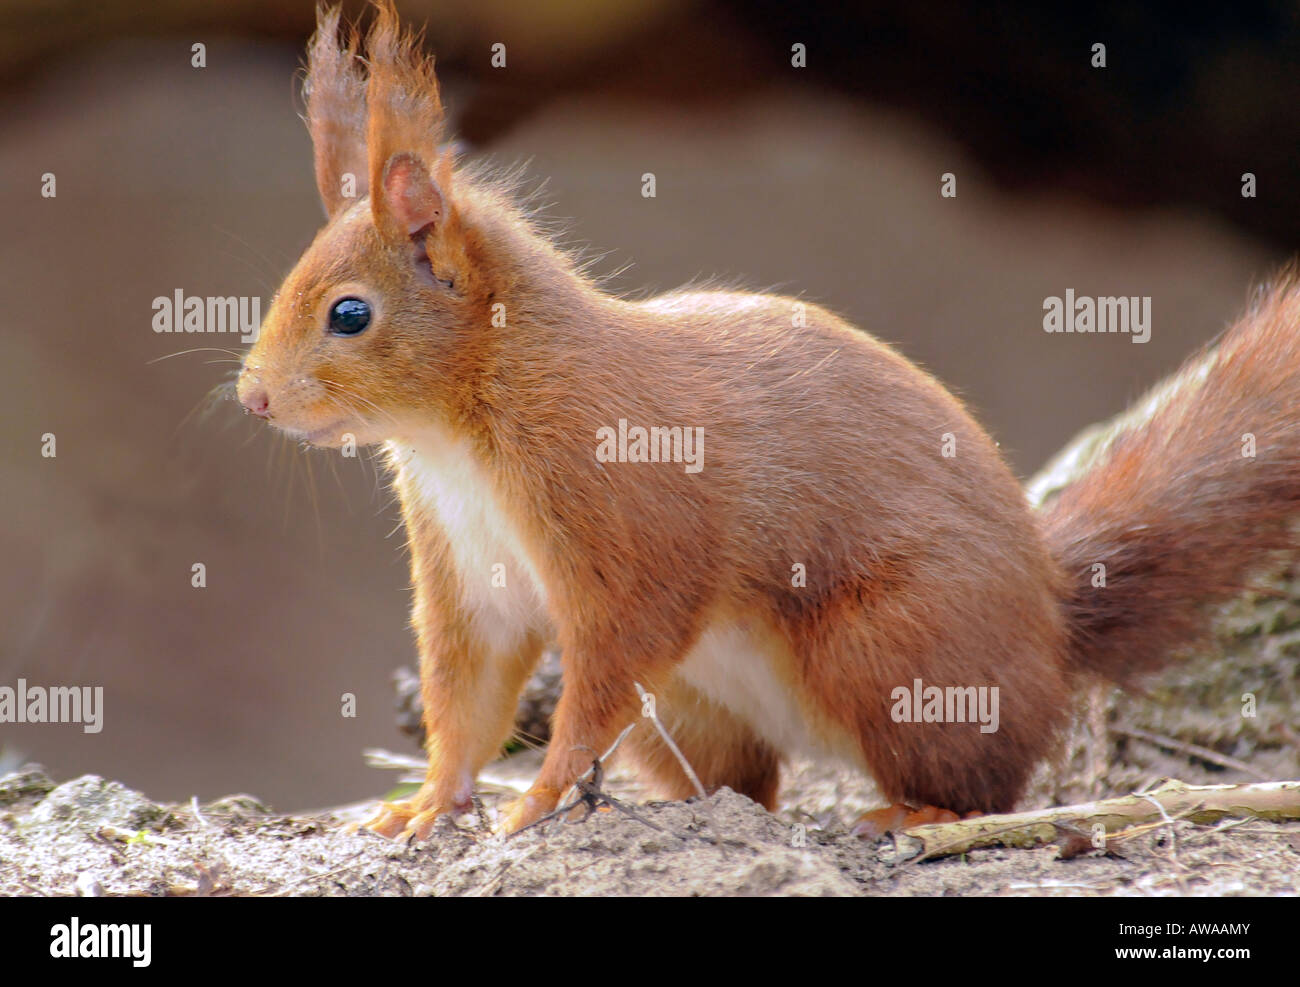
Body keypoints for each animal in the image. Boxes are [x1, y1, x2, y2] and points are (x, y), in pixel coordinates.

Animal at [236, 2, 1300, 839]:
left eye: (349, 314)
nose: (253, 397)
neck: (459, 435)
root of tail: (1050, 616)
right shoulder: (470, 571)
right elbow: (468, 695)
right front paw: (430, 801)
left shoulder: (625, 521)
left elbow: (603, 669)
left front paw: (535, 796)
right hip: (693, 711)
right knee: (748, 781)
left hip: (891, 654)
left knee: (986, 777)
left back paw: (920, 811)